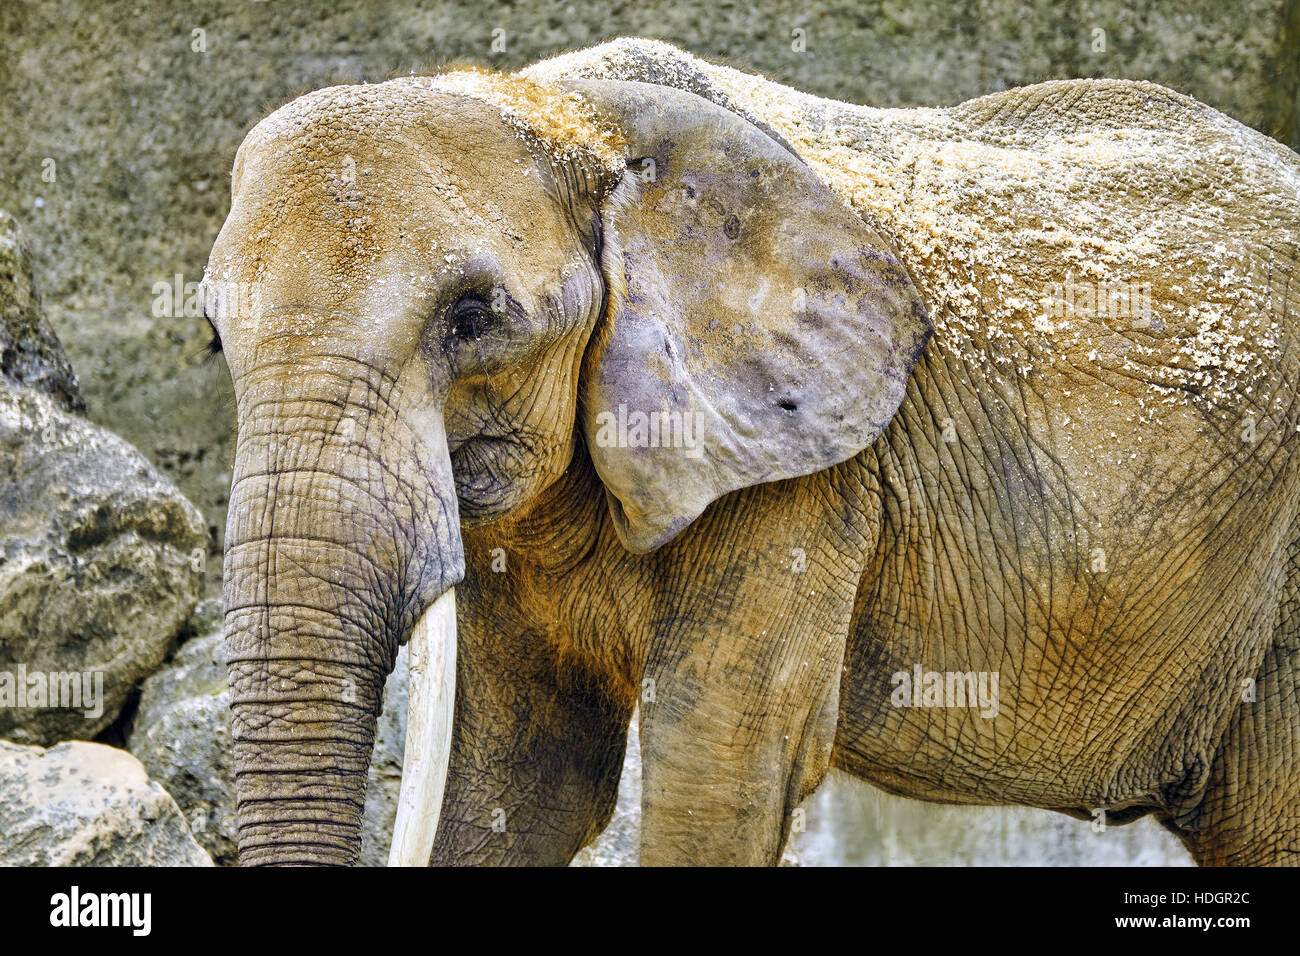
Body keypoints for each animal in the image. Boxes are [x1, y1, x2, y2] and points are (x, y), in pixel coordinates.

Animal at [203, 37, 1300, 866]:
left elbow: (718, 762)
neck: (571, 113)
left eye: (473, 317)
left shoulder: (808, 480)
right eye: (213, 333)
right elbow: (519, 776)